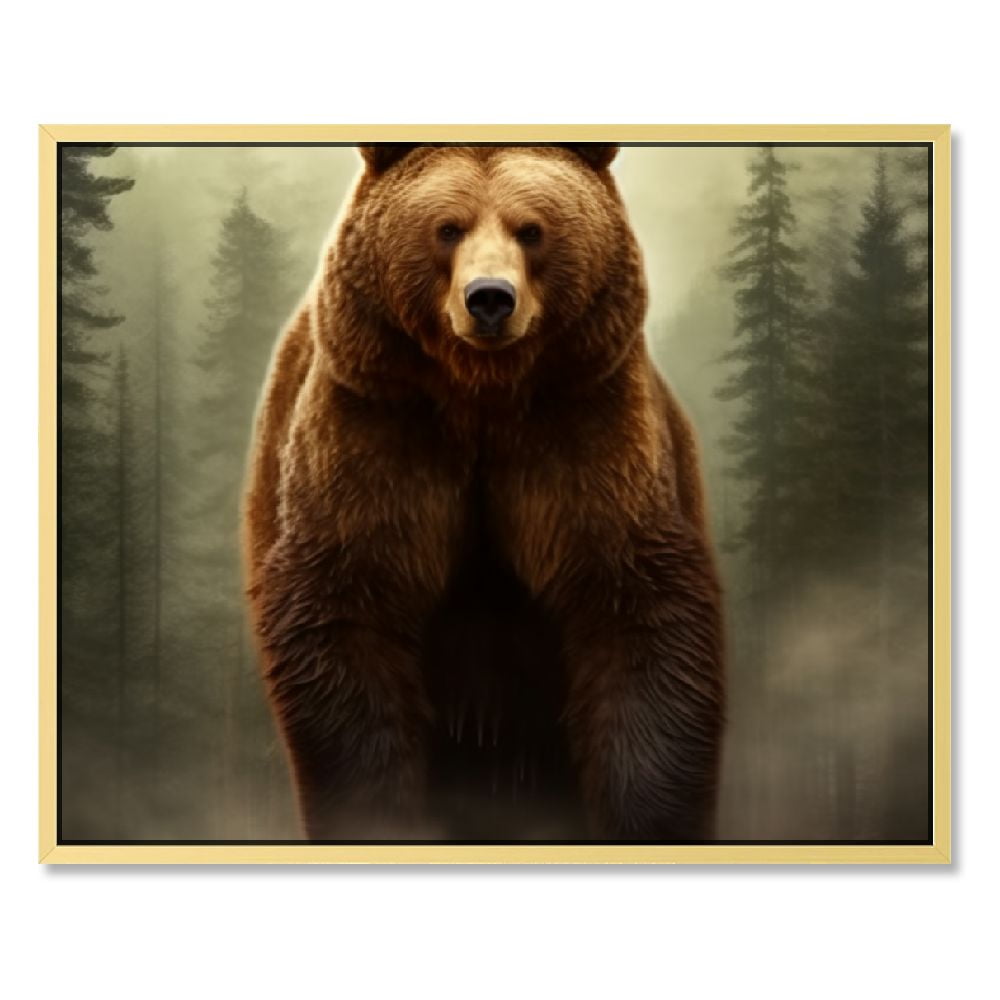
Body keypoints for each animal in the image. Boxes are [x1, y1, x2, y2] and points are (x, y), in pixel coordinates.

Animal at [242, 143, 725, 842]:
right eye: (447, 227)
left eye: (532, 229)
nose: (490, 299)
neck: (481, 397)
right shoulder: (374, 427)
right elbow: (345, 607)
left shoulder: (586, 426)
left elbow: (637, 605)